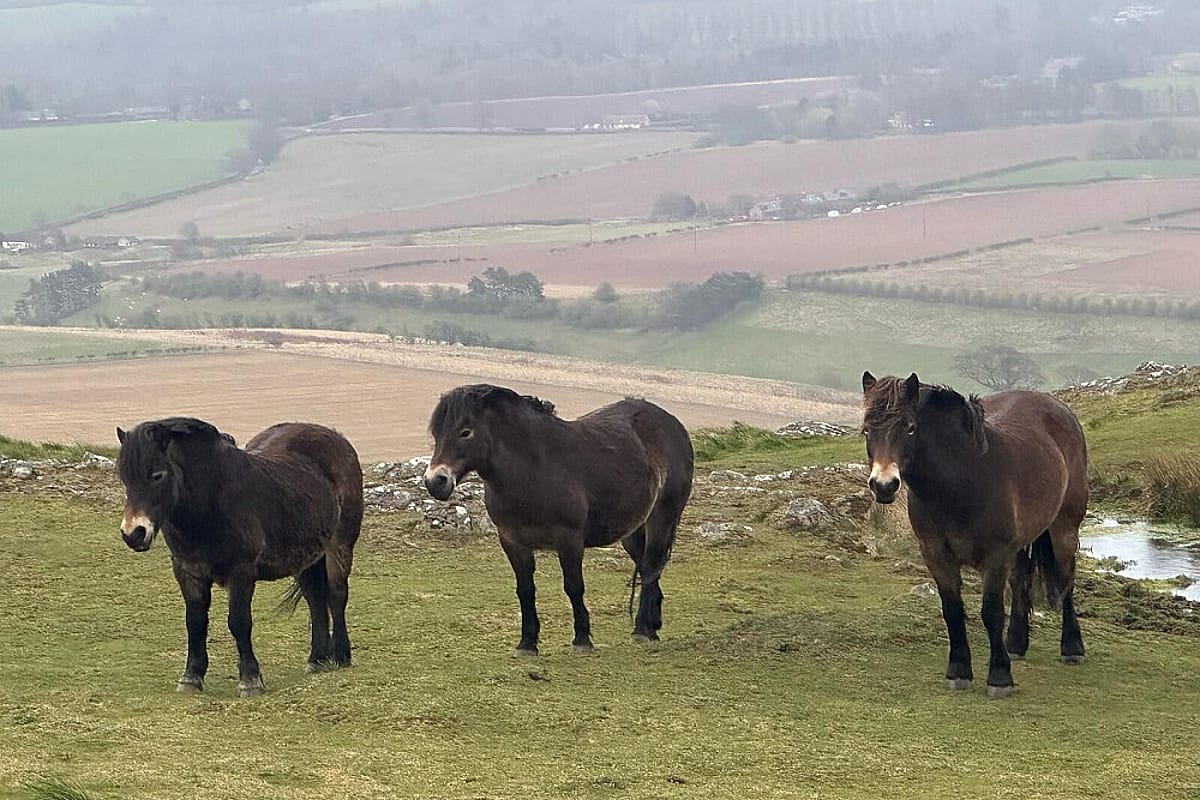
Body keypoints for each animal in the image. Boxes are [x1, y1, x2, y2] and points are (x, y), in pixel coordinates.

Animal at [116, 418, 363, 696]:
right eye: (125, 478)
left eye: (157, 475)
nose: (133, 534)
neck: (210, 502)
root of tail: (336, 437)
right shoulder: (188, 571)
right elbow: (195, 623)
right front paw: (191, 678)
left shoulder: (241, 572)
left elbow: (239, 622)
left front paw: (250, 680)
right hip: (307, 555)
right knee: (314, 597)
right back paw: (316, 659)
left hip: (339, 545)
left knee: (336, 595)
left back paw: (341, 656)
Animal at [423, 384, 694, 655]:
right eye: (437, 434)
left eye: (465, 432)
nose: (435, 482)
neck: (533, 470)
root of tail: (671, 423)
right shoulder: (512, 542)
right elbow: (525, 591)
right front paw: (527, 643)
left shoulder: (569, 539)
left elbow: (573, 587)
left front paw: (582, 640)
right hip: (632, 530)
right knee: (647, 566)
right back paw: (651, 626)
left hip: (661, 519)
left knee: (651, 566)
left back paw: (641, 630)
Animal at [861, 372, 1088, 698]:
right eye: (867, 430)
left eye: (910, 427)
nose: (884, 485)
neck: (962, 482)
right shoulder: (935, 554)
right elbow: (953, 611)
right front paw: (958, 671)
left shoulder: (994, 556)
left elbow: (991, 612)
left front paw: (999, 677)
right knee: (1020, 579)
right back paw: (1016, 642)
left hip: (1064, 528)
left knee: (1066, 579)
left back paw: (1072, 647)